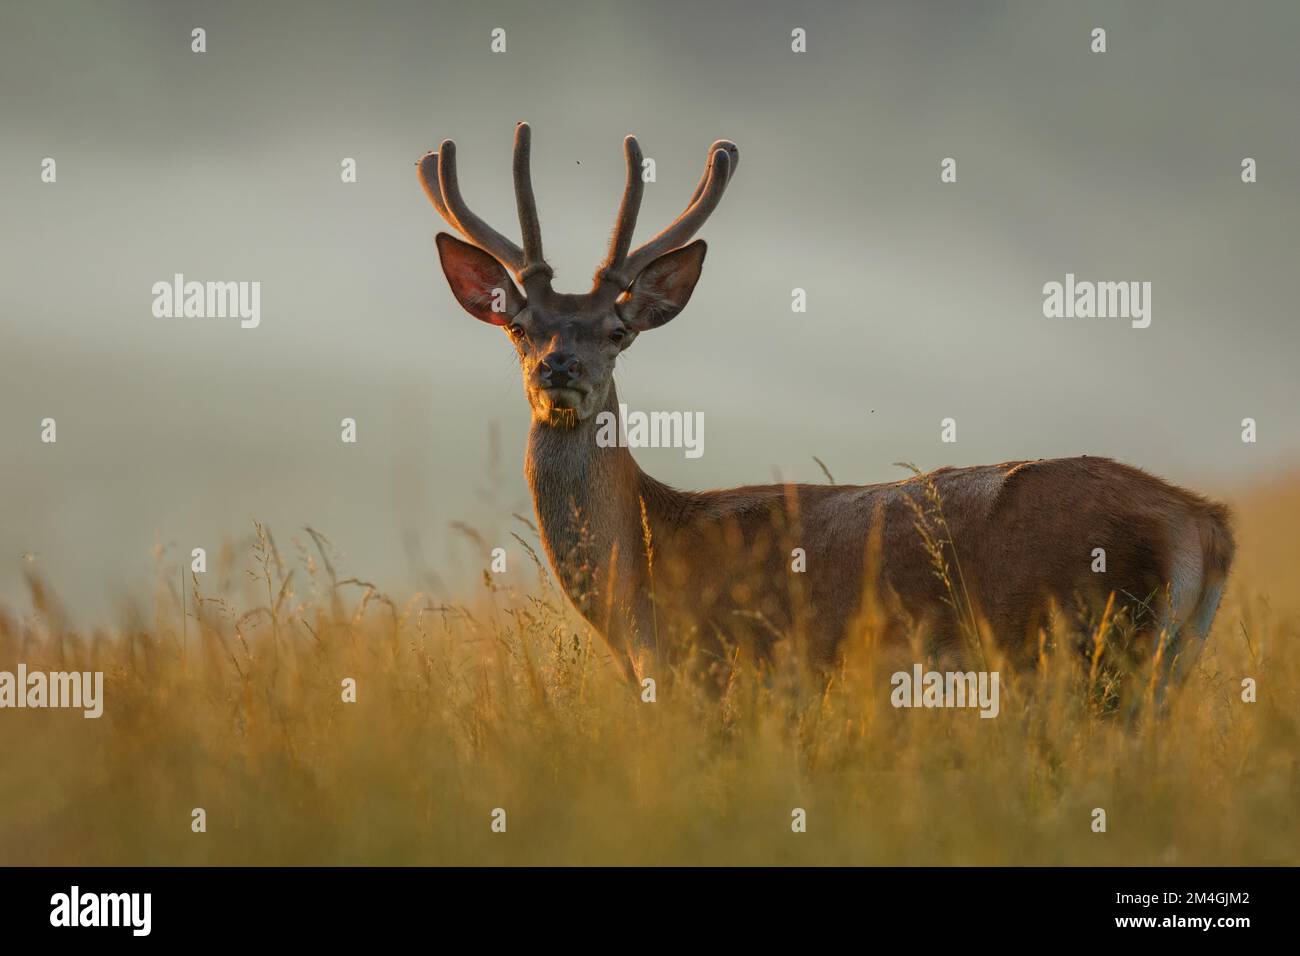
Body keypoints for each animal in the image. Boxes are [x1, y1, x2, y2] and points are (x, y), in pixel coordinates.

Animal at [417, 123, 1235, 700]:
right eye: (522, 327)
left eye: (617, 333)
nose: (560, 368)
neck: (638, 598)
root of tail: (1205, 521)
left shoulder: (727, 678)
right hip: (1163, 672)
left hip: (1090, 652)